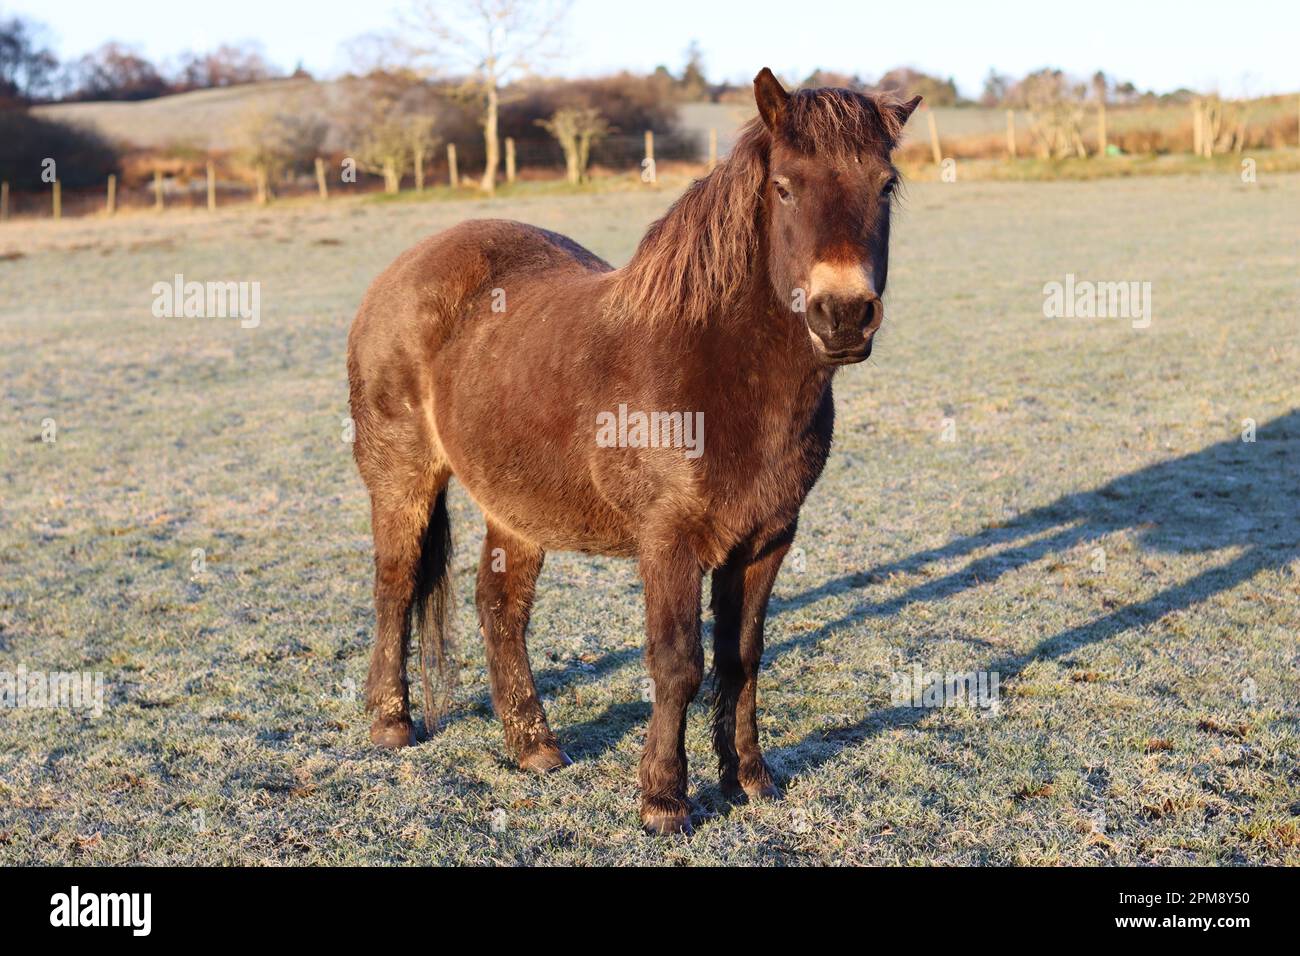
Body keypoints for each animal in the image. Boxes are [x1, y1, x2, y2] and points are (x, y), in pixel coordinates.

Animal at [346, 68, 921, 835]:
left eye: (885, 184)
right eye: (785, 187)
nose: (844, 316)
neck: (711, 364)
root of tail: (404, 269)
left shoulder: (769, 538)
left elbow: (742, 658)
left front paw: (750, 780)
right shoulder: (668, 540)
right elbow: (678, 663)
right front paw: (663, 800)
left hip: (518, 506)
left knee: (499, 607)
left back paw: (535, 746)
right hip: (402, 477)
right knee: (396, 583)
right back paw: (391, 724)